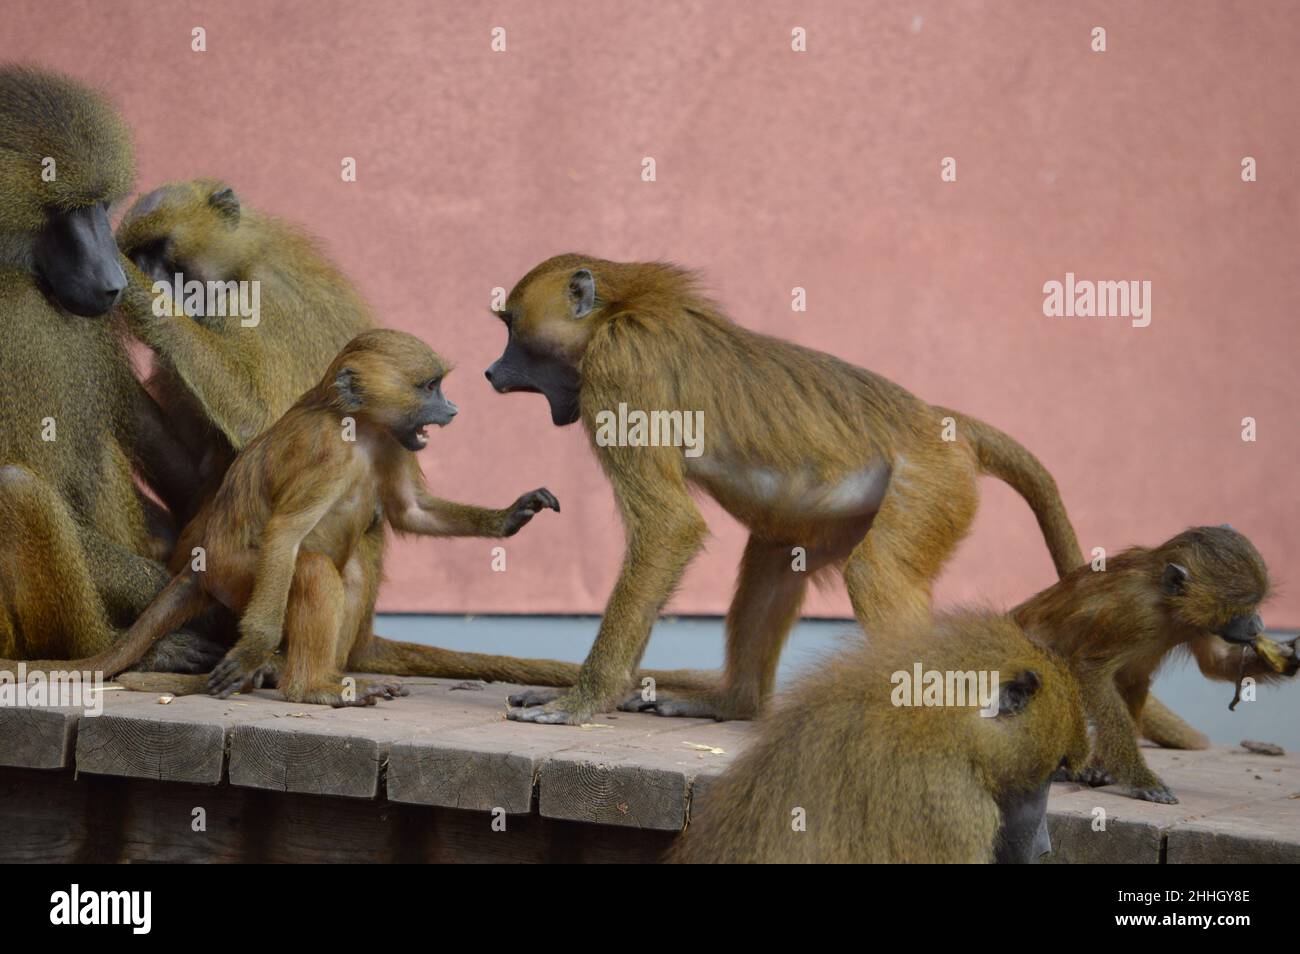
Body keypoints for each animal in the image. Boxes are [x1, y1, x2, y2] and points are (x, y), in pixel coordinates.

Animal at [1012, 525, 1296, 803]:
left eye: (1256, 605)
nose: (1259, 625)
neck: (1166, 603)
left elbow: (1216, 664)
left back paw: (1097, 769)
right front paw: (1141, 780)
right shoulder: (1135, 613)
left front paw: (1292, 655)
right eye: (1241, 610)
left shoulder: (1198, 625)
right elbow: (1090, 671)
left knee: (1133, 682)